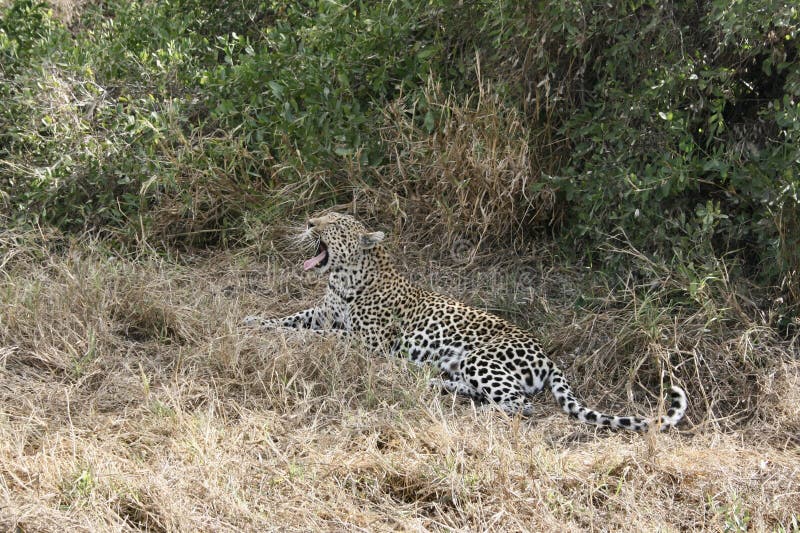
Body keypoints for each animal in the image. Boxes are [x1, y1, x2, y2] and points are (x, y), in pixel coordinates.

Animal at [244, 212, 687, 431]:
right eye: (320, 216)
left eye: (332, 224)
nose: (308, 223)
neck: (343, 278)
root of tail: (546, 356)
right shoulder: (322, 313)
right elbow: (288, 319)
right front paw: (253, 321)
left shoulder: (365, 342)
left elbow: (323, 341)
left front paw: (291, 340)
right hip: (463, 365)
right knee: (477, 390)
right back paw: (431, 383)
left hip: (481, 359)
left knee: (520, 405)